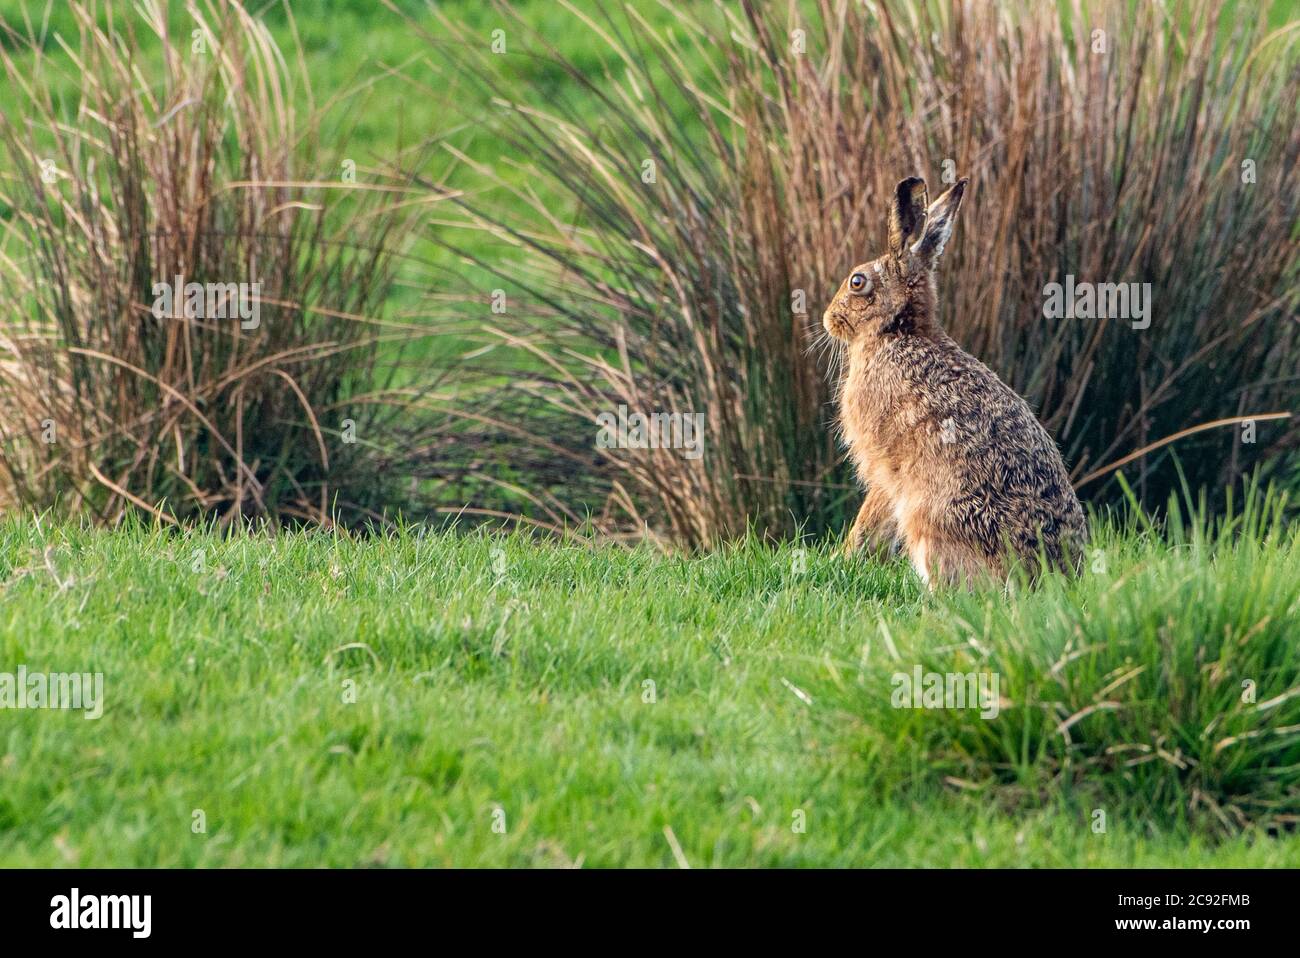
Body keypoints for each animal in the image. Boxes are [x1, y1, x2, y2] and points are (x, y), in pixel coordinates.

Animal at [823, 175, 1085, 586]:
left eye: (857, 282)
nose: (827, 318)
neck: (899, 331)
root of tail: (1047, 575)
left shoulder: (882, 464)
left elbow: (873, 513)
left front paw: (845, 556)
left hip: (930, 519)